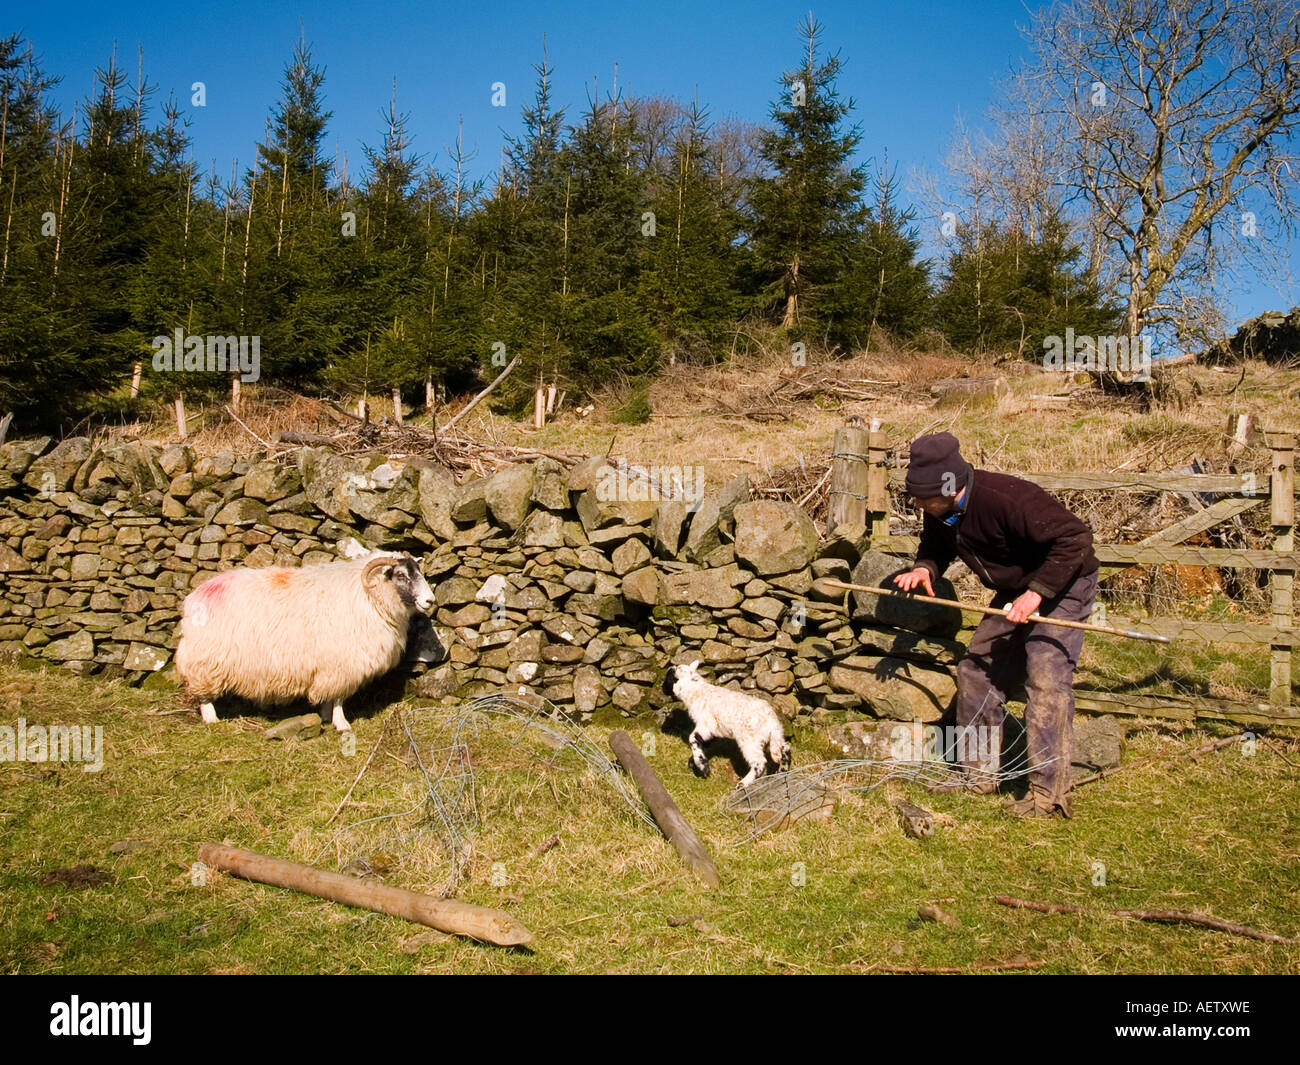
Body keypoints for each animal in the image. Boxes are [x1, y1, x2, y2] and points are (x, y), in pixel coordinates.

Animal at [174, 551, 434, 732]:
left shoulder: (329, 667)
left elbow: (328, 696)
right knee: (203, 692)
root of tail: (196, 595)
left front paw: (326, 716)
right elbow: (339, 698)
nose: (430, 600)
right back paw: (211, 718)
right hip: (205, 657)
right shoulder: (341, 664)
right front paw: (341, 724)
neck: (367, 596)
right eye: (401, 575)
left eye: (419, 572)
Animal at [662, 660, 791, 787]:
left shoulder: (707, 724)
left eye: (669, 677)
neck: (695, 690)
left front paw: (703, 767)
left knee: (760, 762)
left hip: (750, 740)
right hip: (773, 737)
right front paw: (696, 762)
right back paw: (782, 772)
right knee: (785, 749)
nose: (662, 689)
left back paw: (743, 783)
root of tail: (772, 721)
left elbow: (693, 738)